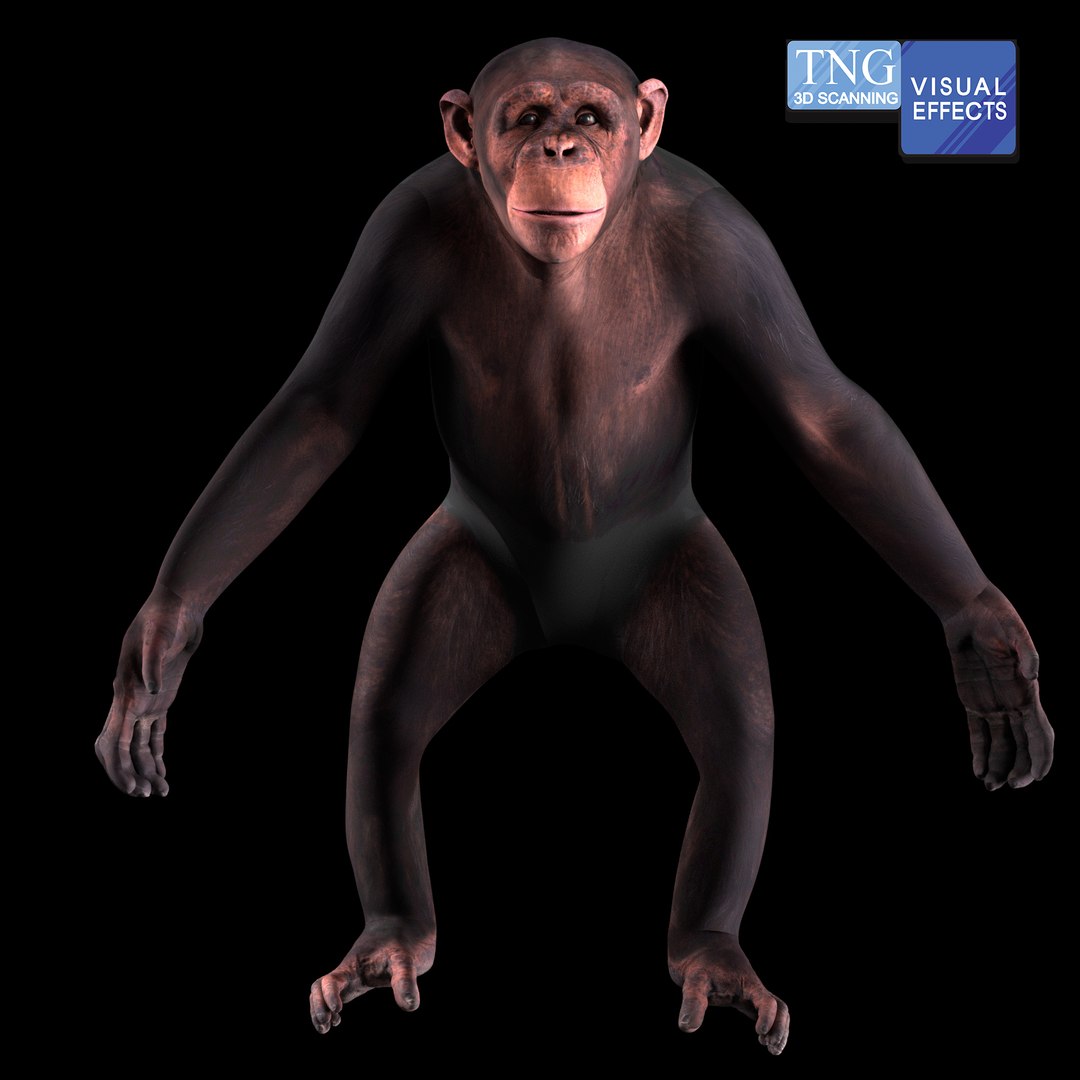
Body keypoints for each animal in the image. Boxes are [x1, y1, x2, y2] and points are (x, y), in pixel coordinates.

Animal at [95, 39, 1052, 1056]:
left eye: (592, 116)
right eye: (524, 116)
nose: (558, 147)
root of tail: (568, 627)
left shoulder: (731, 245)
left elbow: (822, 413)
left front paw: (985, 638)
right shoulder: (397, 231)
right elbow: (319, 410)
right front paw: (164, 637)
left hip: (676, 577)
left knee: (737, 732)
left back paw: (709, 950)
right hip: (465, 573)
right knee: (387, 719)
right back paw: (392, 933)